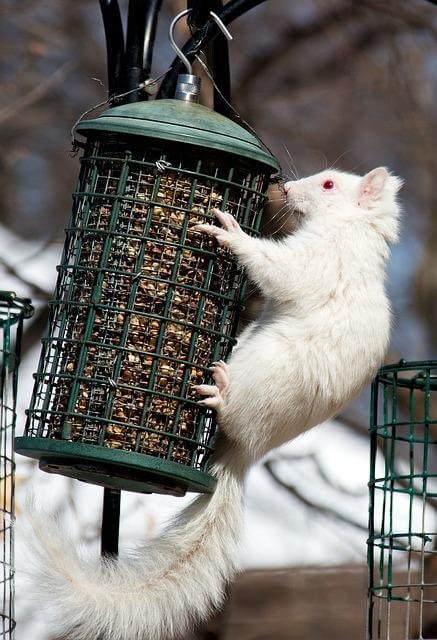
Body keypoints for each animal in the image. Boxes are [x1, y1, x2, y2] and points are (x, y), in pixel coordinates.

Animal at [28, 167, 402, 640]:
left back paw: (218, 391)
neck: (354, 228)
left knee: (234, 411)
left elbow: (284, 272)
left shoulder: (324, 260)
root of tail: (244, 454)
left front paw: (230, 232)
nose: (284, 188)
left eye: (329, 185)